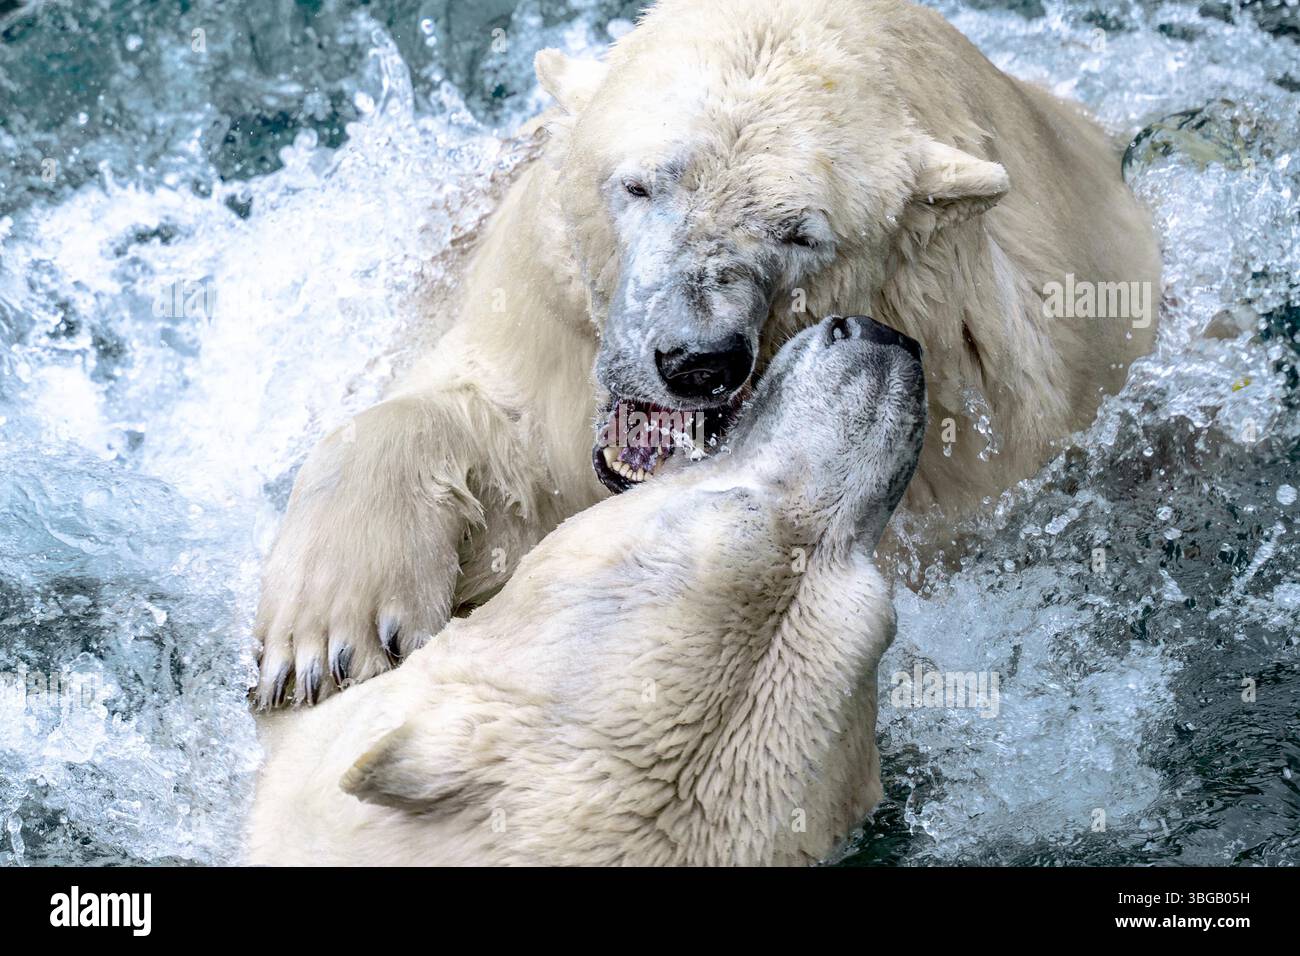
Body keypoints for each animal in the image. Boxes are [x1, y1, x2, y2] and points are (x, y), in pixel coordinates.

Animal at [253, 0, 1161, 706]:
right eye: (640, 184)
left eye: (802, 233)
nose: (698, 359)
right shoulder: (533, 315)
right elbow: (468, 422)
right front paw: (327, 638)